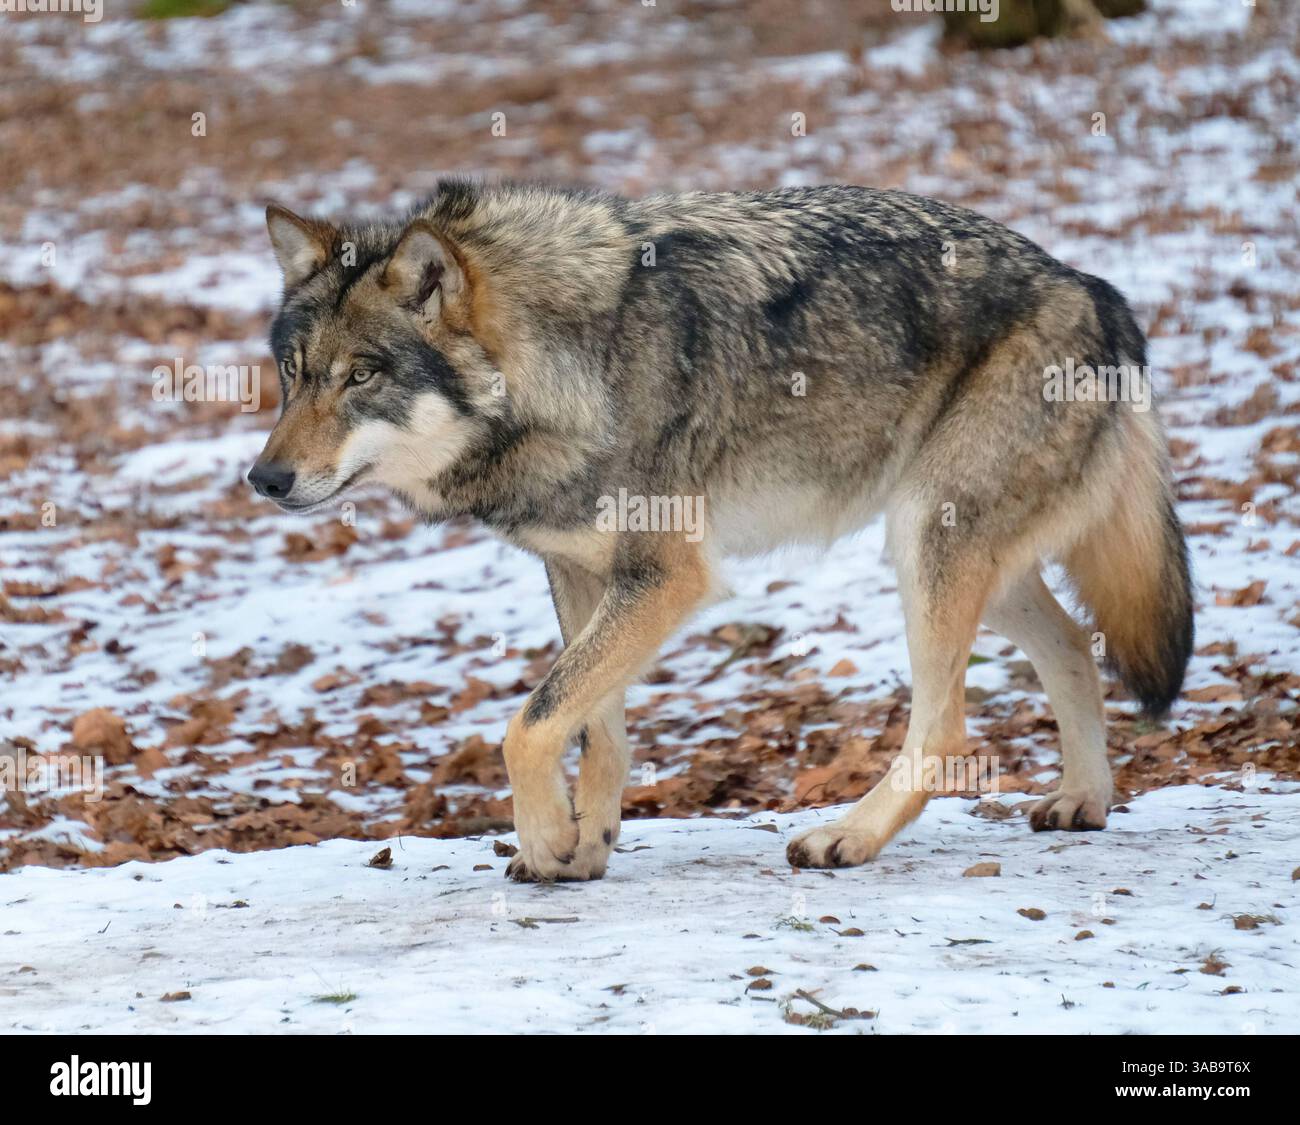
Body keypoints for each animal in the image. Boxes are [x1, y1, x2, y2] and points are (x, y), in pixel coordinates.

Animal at [248, 180, 1193, 881]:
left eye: (362, 376)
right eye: (293, 375)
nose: (264, 479)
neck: (570, 366)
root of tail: (1095, 289)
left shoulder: (667, 578)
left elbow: (529, 725)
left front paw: (546, 838)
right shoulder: (584, 575)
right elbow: (596, 727)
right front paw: (584, 845)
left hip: (927, 539)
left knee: (948, 726)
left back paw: (848, 836)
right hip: (962, 555)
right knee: (1073, 645)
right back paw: (1084, 801)